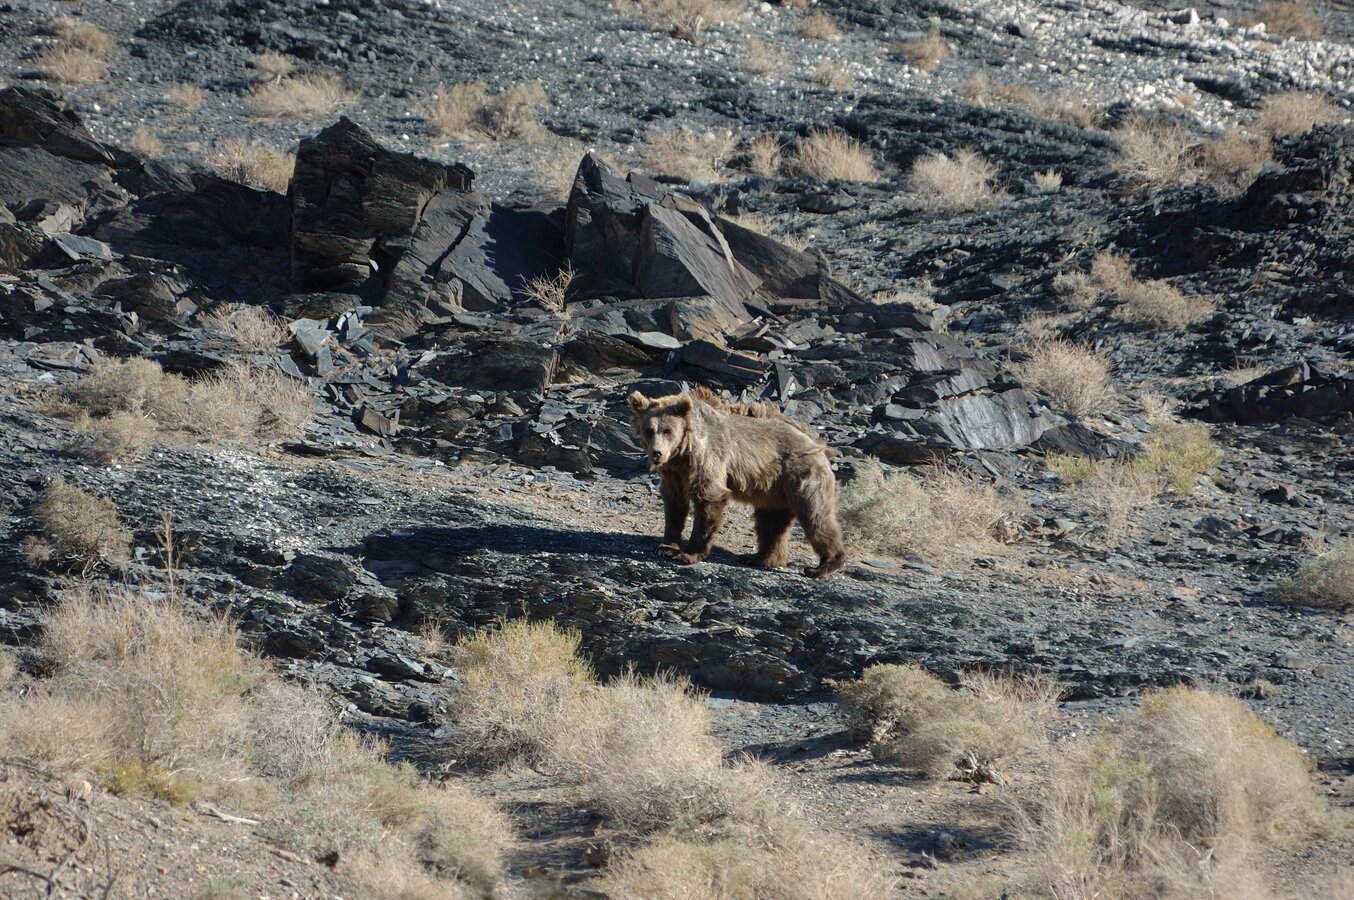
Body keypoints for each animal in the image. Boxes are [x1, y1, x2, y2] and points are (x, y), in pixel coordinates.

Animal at [628, 388, 846, 578]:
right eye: (649, 430)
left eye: (668, 430)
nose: (657, 453)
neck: (683, 452)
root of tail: (818, 446)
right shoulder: (675, 473)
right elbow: (674, 504)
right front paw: (665, 547)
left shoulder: (708, 458)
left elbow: (708, 498)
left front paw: (689, 554)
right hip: (775, 489)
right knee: (771, 522)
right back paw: (760, 558)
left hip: (801, 475)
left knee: (815, 516)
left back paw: (822, 566)